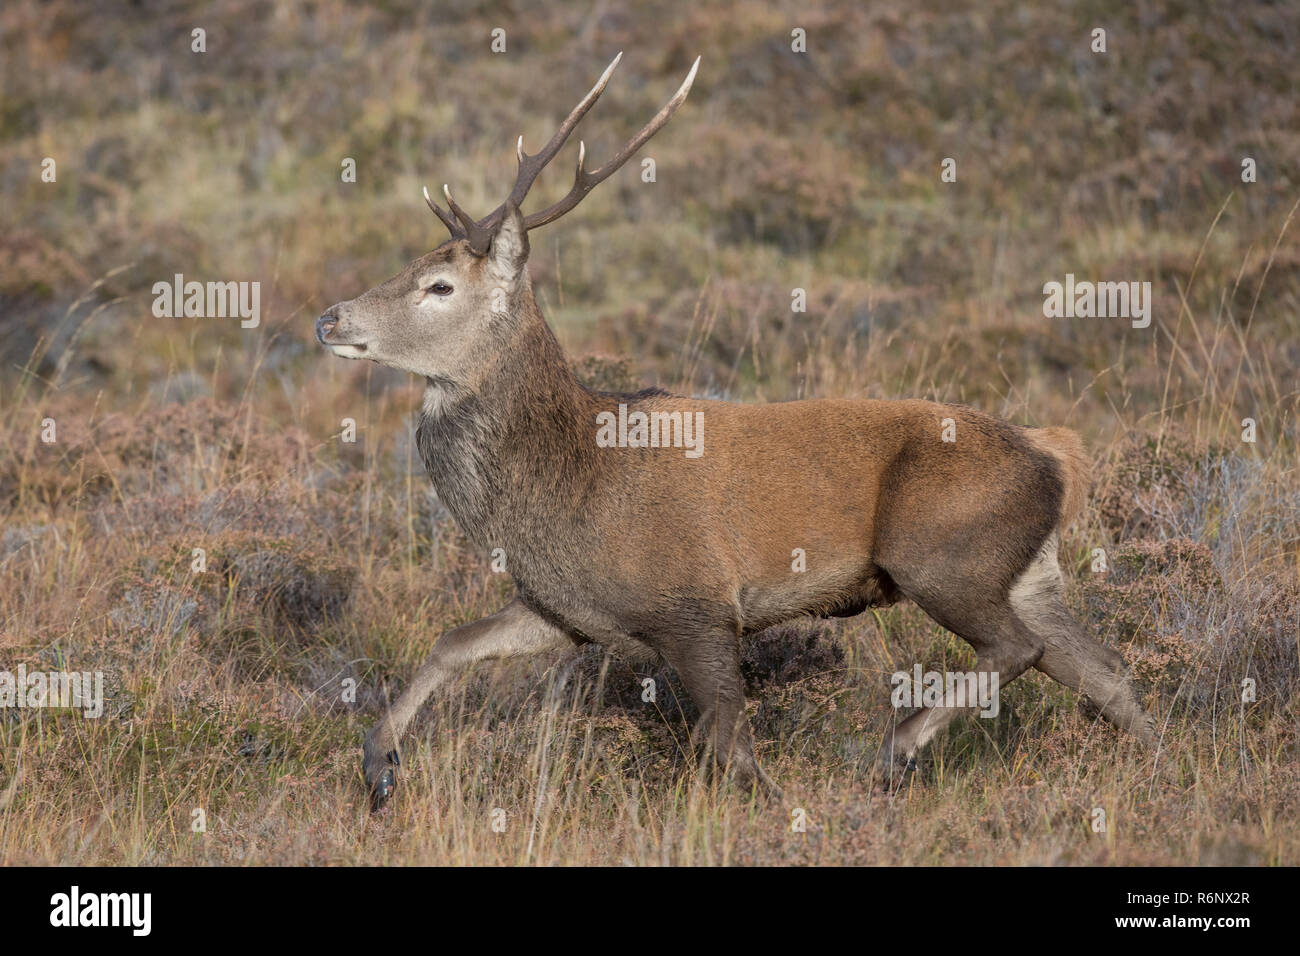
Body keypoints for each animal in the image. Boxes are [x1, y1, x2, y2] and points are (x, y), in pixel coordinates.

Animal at [315, 53, 1158, 811]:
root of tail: (1058, 456)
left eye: (439, 285)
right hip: (1029, 570)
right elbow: (452, 642)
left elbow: (731, 746)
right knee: (1103, 668)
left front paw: (784, 811)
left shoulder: (696, 606)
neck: (567, 481)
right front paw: (379, 766)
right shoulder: (567, 610)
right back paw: (1150, 765)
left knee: (1020, 647)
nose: (329, 318)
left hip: (943, 550)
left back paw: (897, 747)